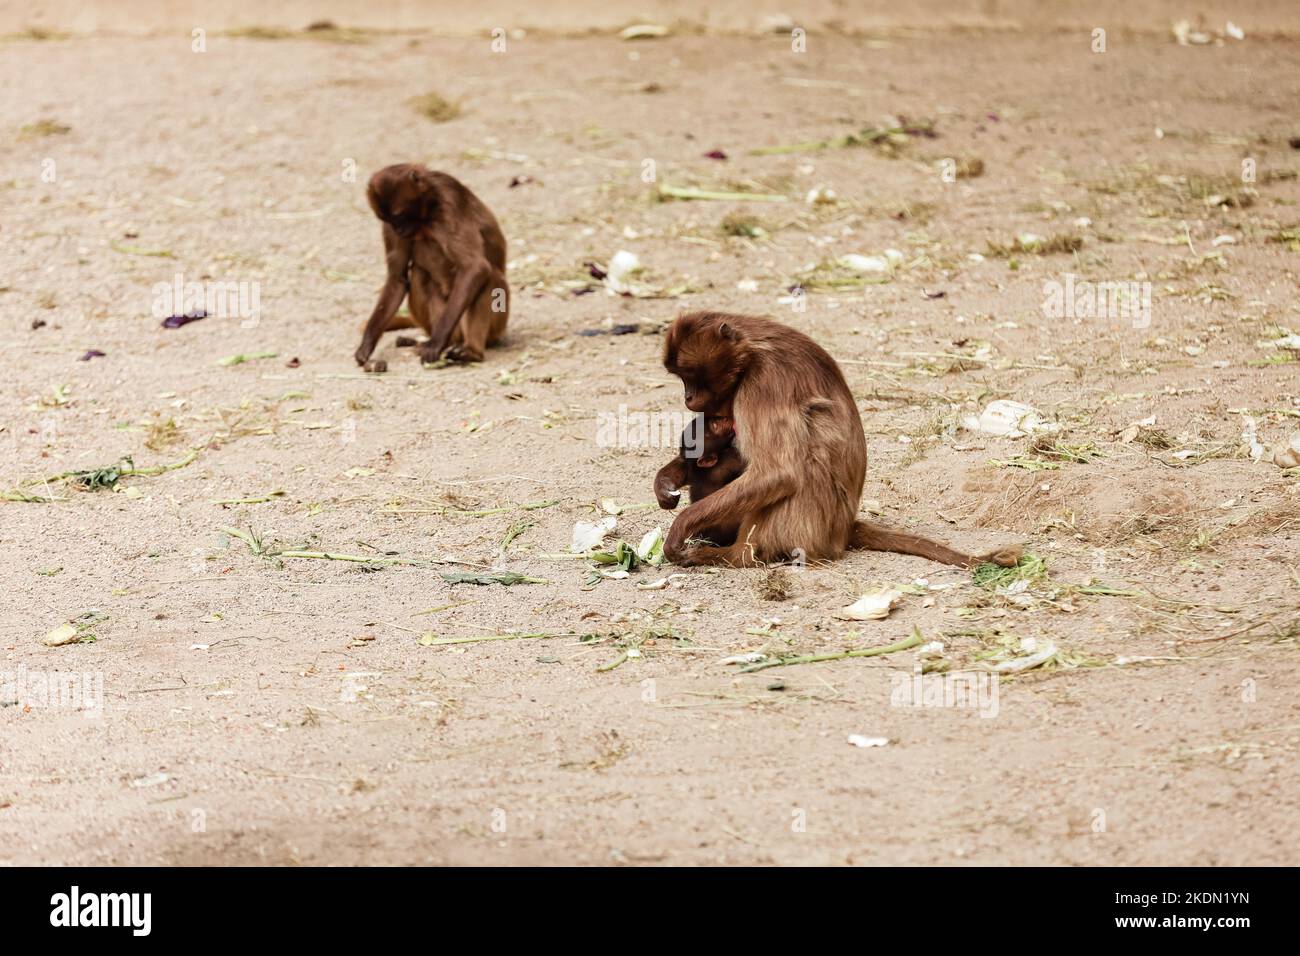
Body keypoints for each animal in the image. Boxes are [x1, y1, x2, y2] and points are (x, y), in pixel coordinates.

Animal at [355, 164, 509, 371]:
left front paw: (436, 343)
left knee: (490, 276)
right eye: (386, 219)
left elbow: (475, 267)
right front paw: (367, 344)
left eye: (399, 216)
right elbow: (398, 279)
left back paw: (471, 351)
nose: (398, 230)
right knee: (419, 273)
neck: (426, 217)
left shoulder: (450, 202)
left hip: (495, 327)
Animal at [660, 311, 1023, 569]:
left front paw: (680, 528)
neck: (752, 351)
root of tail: (845, 527)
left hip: (814, 527)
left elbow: (779, 474)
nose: (688, 397)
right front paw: (665, 484)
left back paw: (734, 557)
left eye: (691, 376)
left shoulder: (764, 384)